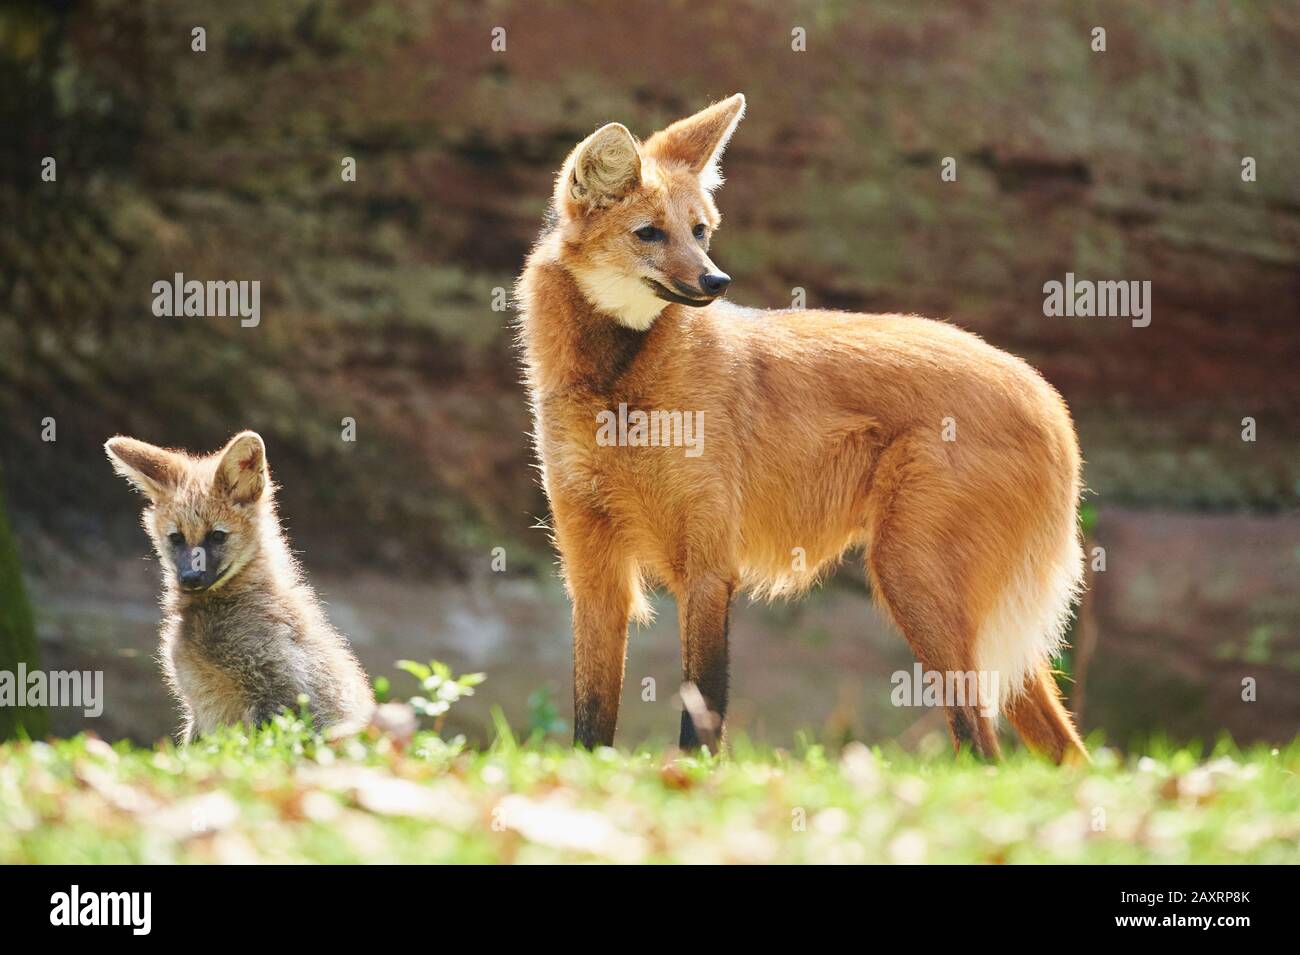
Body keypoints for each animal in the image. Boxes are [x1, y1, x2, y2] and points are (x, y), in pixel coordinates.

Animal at [517, 94, 1088, 762]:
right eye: (649, 232)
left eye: (700, 230)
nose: (716, 281)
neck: (617, 385)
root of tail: (1048, 398)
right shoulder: (593, 569)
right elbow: (590, 724)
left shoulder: (708, 565)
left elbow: (700, 714)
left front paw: (690, 782)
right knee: (1063, 752)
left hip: (913, 576)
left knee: (983, 745)